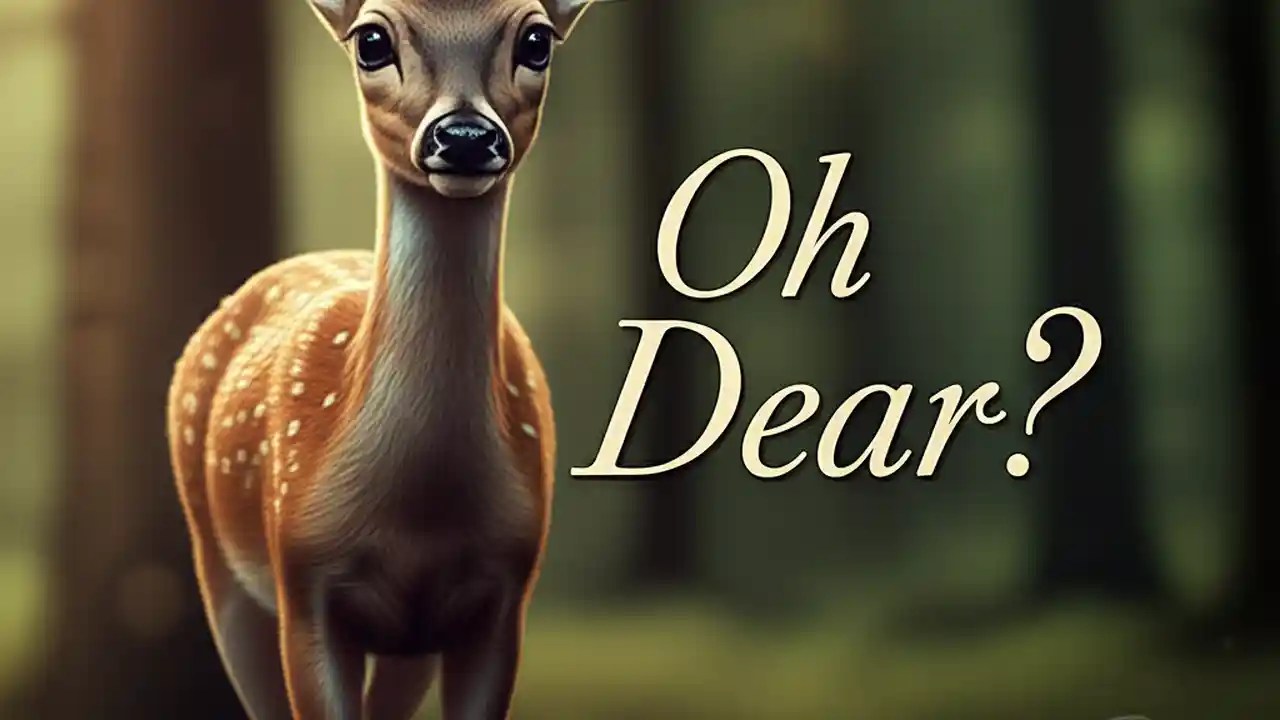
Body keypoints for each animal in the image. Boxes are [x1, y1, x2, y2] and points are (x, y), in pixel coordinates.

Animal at [165, 1, 613, 718]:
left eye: (537, 39)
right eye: (371, 39)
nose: (464, 136)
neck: (418, 514)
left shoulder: (503, 597)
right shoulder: (304, 583)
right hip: (217, 558)